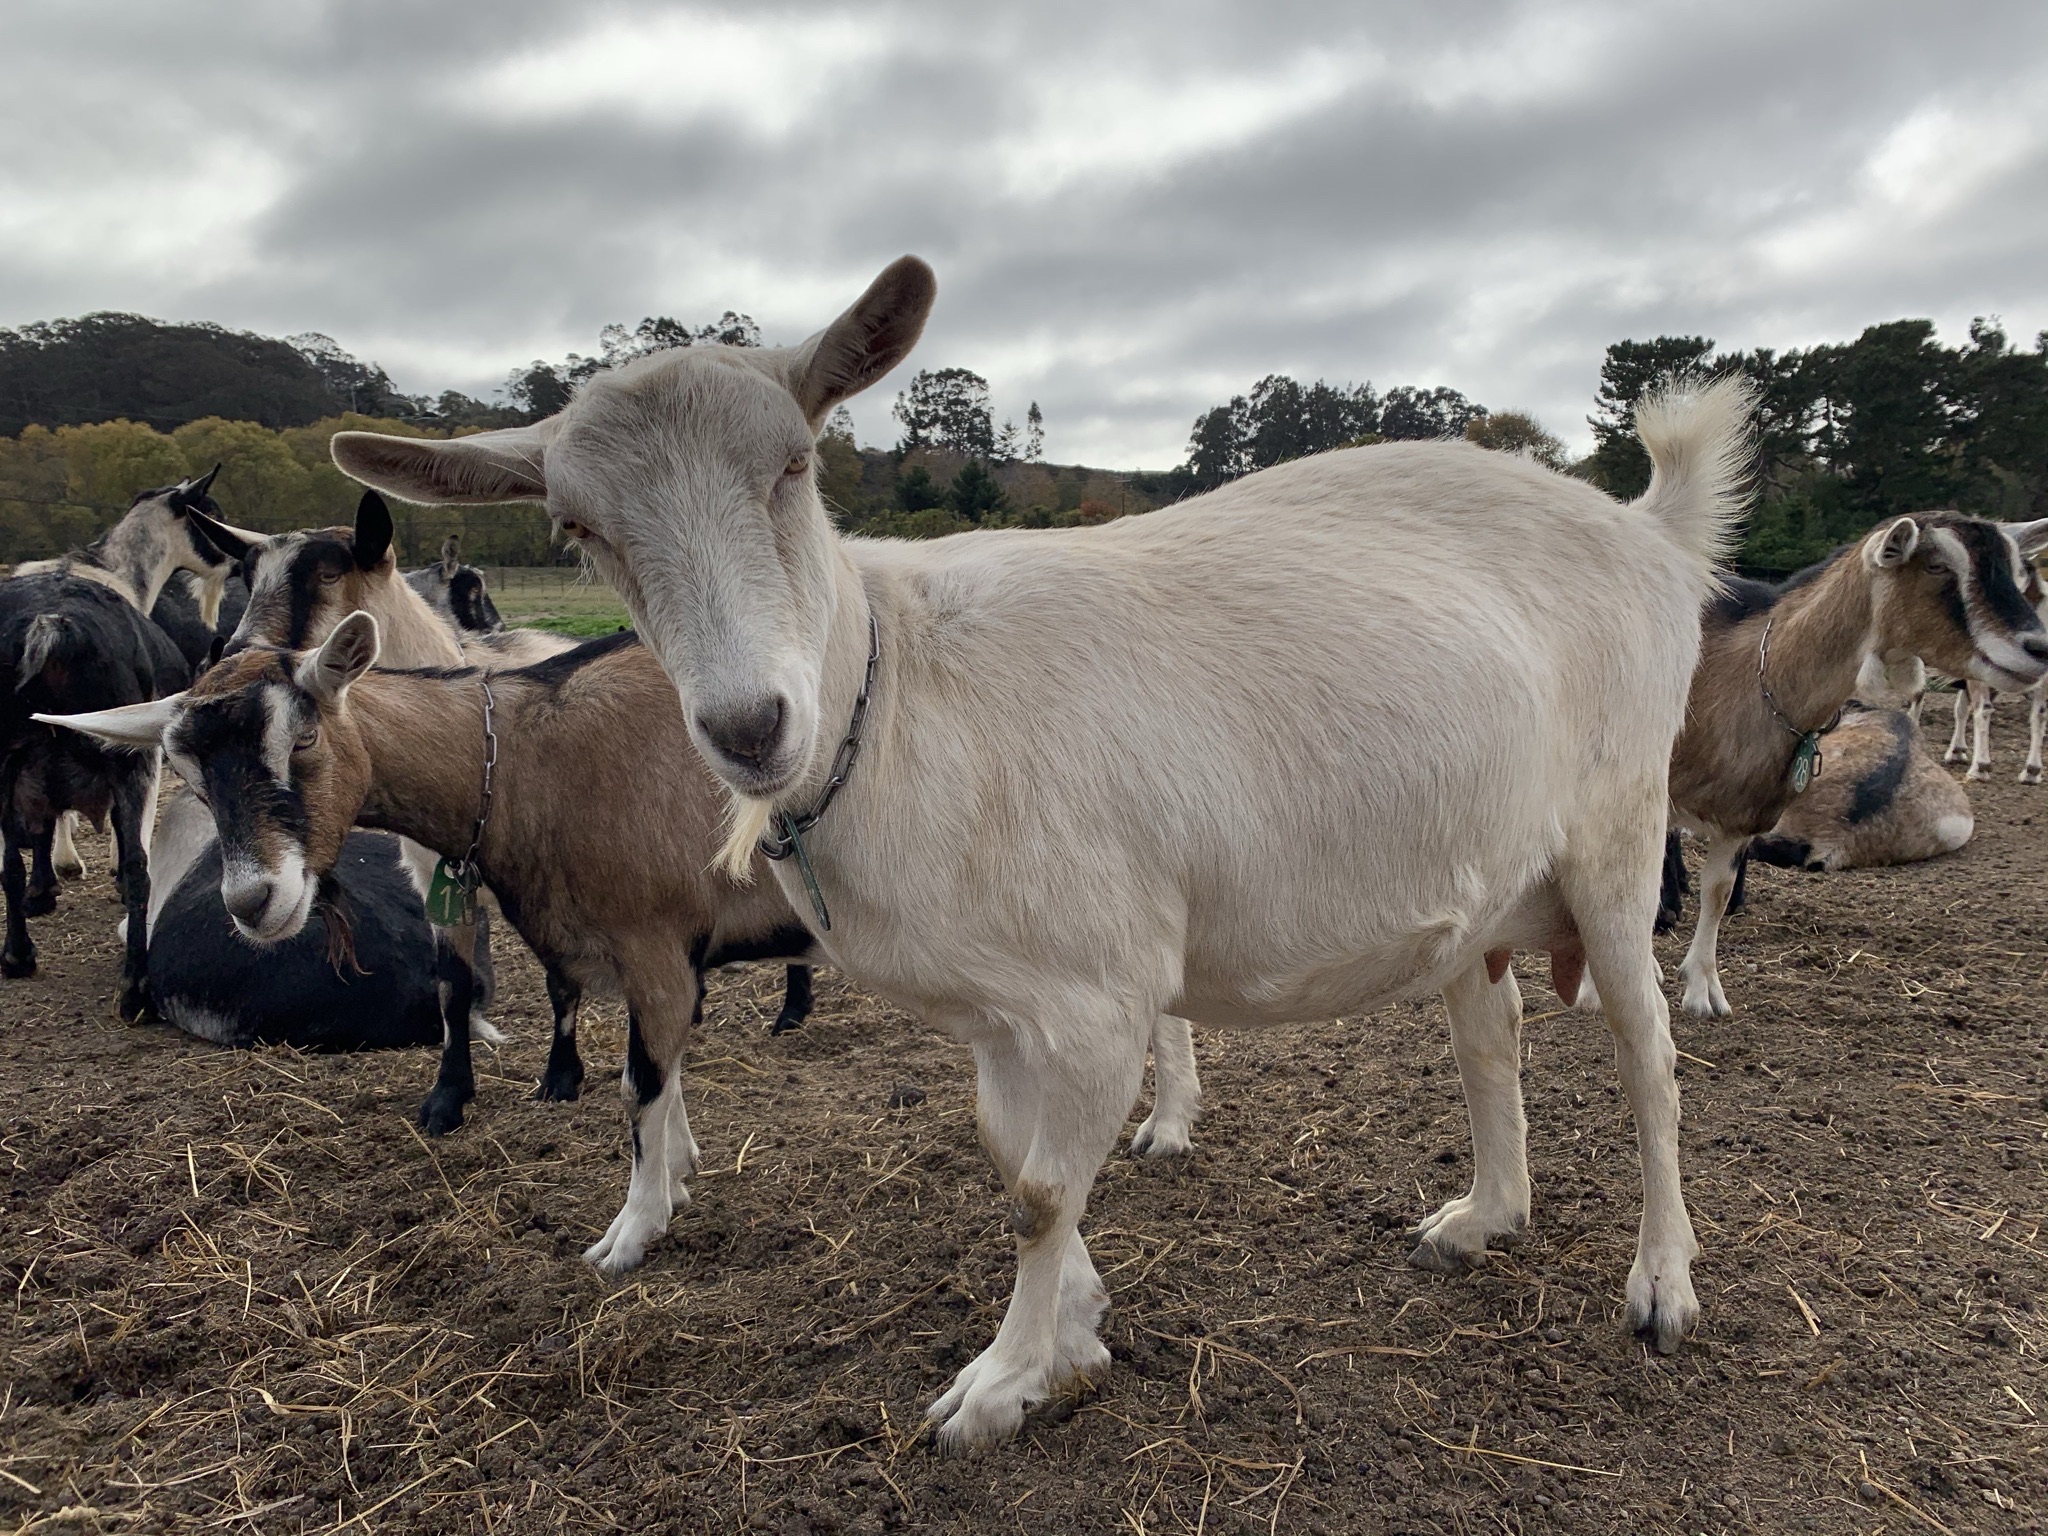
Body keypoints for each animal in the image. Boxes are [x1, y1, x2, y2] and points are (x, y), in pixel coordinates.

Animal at [329, 256, 1741, 1449]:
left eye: (795, 463)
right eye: (576, 529)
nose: (748, 726)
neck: (901, 697)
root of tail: (1647, 532)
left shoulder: (1096, 996)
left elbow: (1039, 1198)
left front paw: (1001, 1383)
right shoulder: (997, 1011)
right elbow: (1018, 1169)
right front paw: (1075, 1331)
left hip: (1617, 837)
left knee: (1650, 1061)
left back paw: (1663, 1283)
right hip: (1480, 883)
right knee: (1487, 1036)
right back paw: (1482, 1217)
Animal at [1667, 518, 2048, 1016]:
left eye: (2019, 572)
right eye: (1936, 565)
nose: (2039, 647)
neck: (1742, 669)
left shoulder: (1744, 814)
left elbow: (1717, 890)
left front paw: (1703, 990)